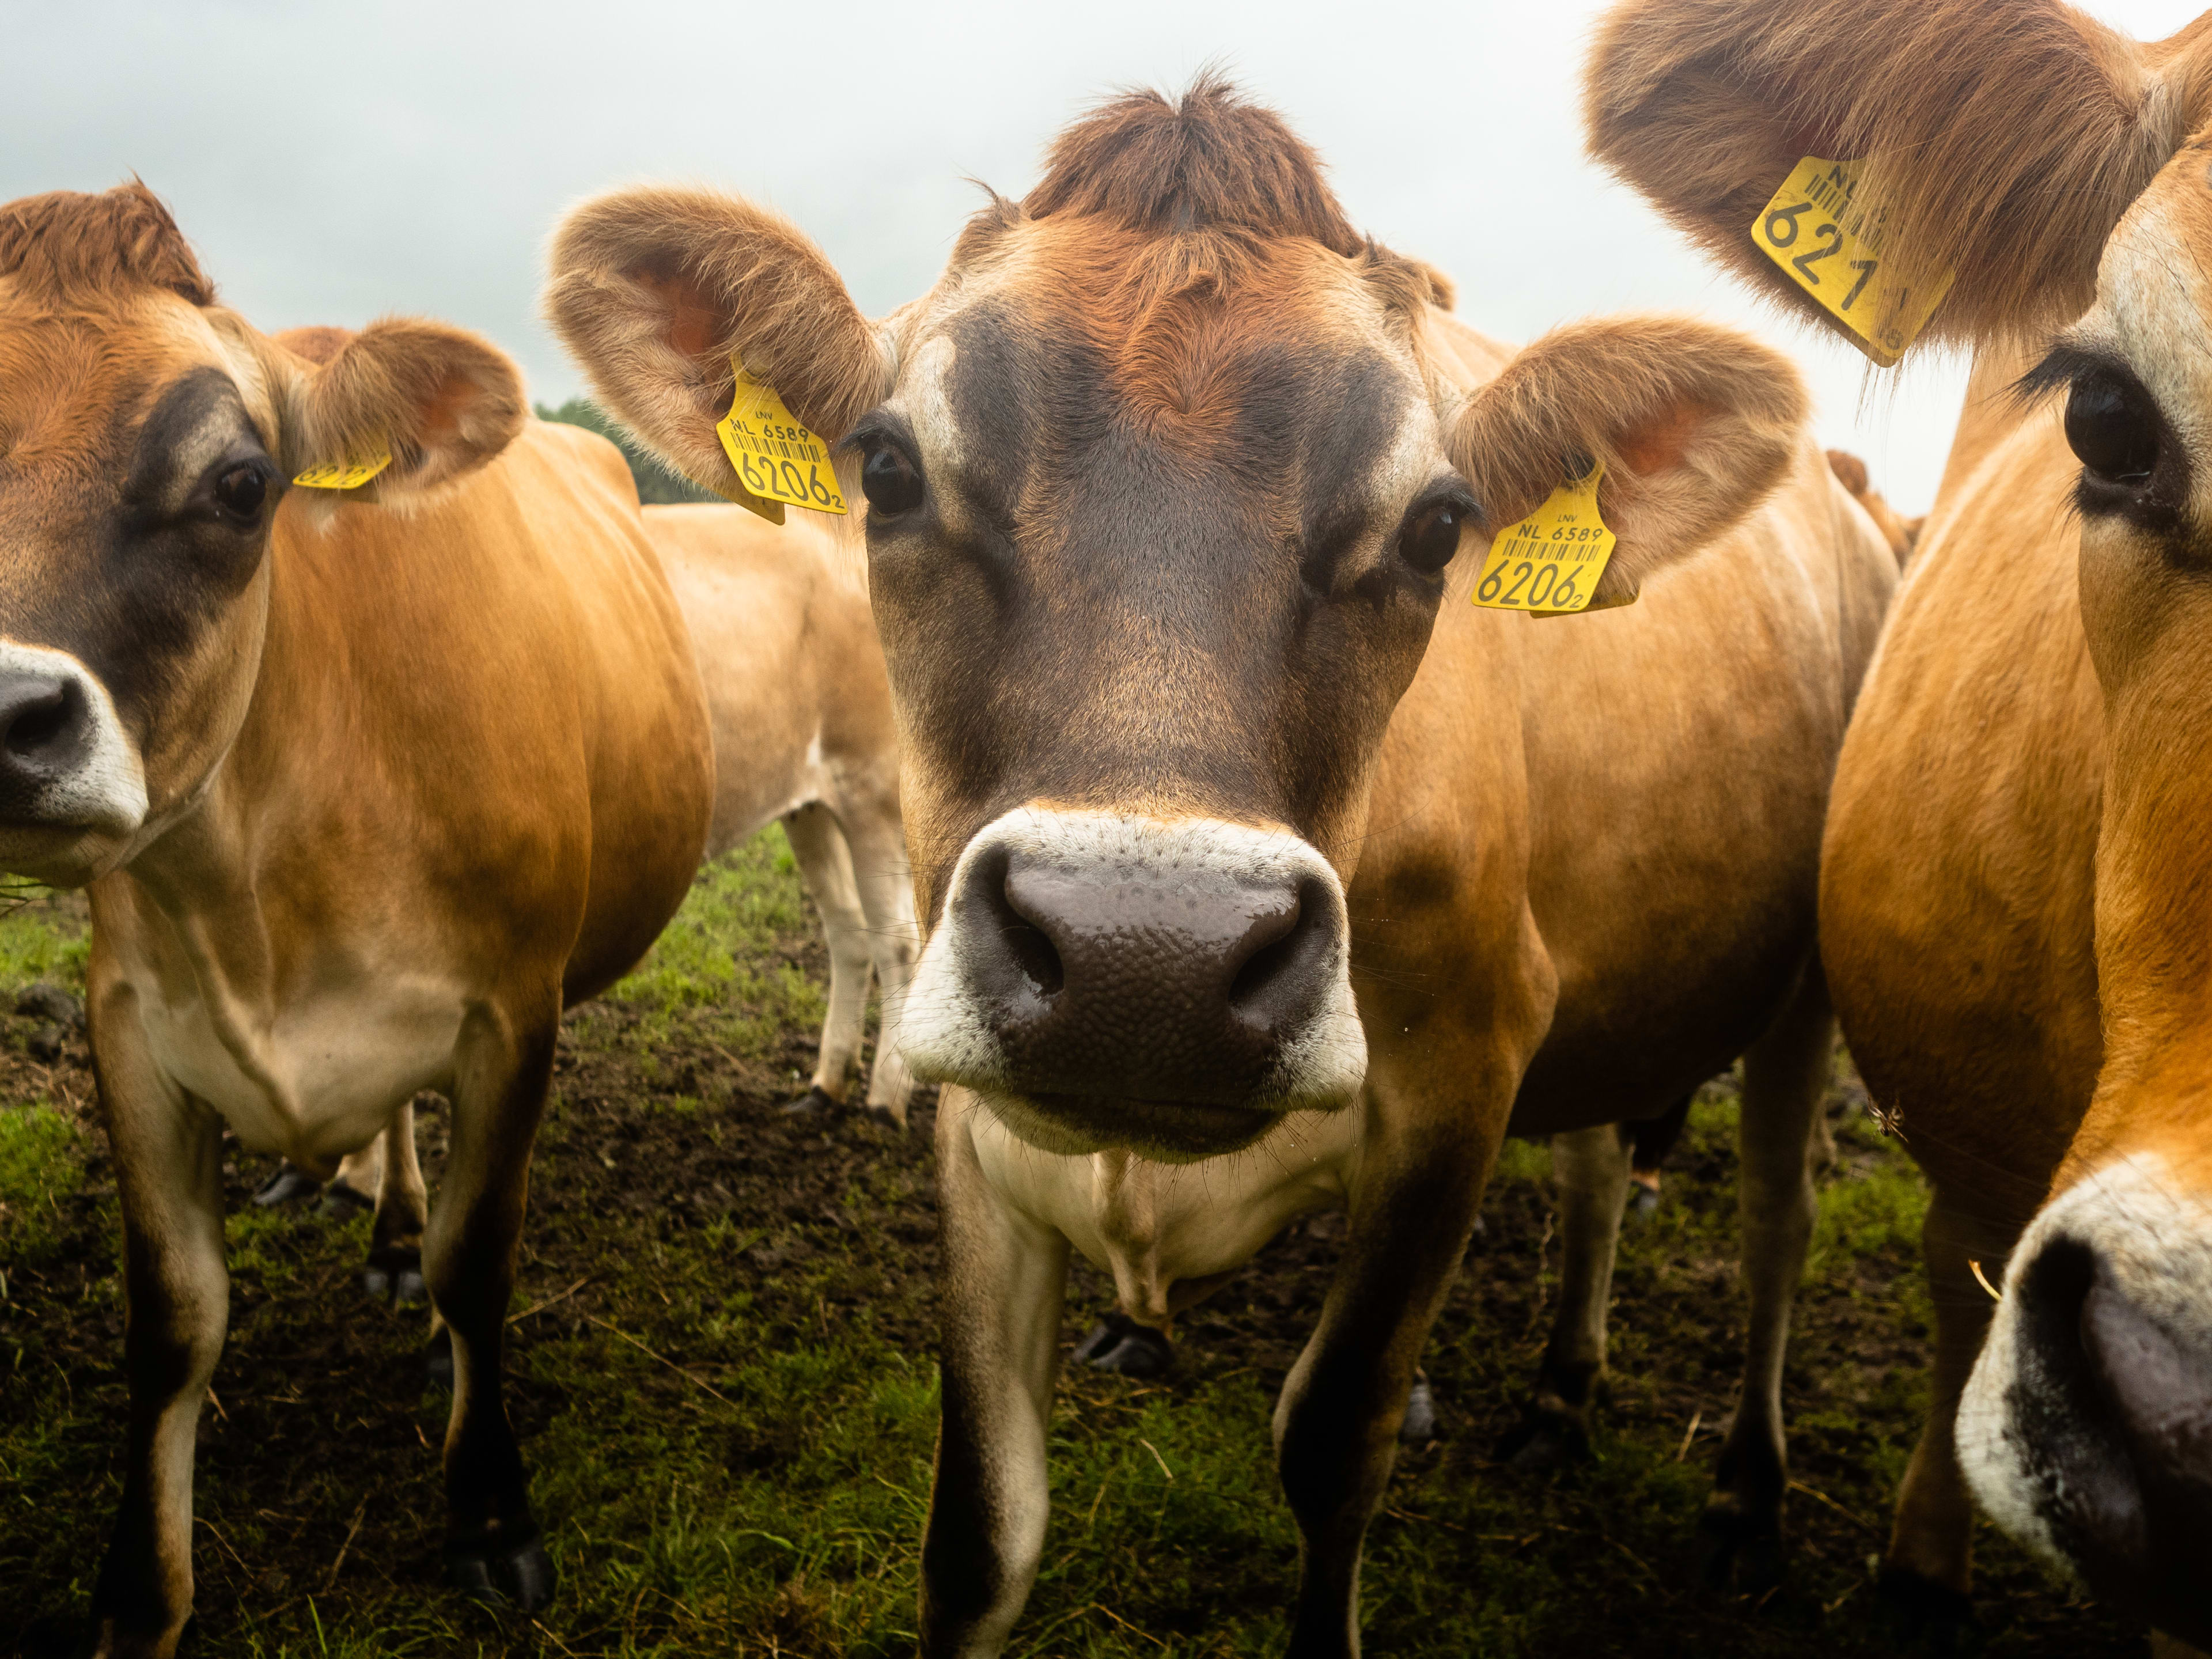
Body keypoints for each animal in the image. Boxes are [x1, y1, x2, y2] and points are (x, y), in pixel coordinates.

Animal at [0, 183, 715, 1655]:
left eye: (241, 484)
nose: (1, 716)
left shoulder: (513, 1014)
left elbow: (476, 1264)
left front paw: (489, 1513)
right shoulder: (128, 1028)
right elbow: (175, 1319)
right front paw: (139, 1594)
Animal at [542, 79, 1897, 1655]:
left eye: (1436, 526)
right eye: (886, 471)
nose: (1148, 961)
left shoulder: (1461, 1075)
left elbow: (1333, 1436)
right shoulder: (973, 1117)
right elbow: (980, 1526)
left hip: (1806, 979)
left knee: (1776, 1215)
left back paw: (1746, 1494)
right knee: (1599, 1167)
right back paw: (1558, 1398)